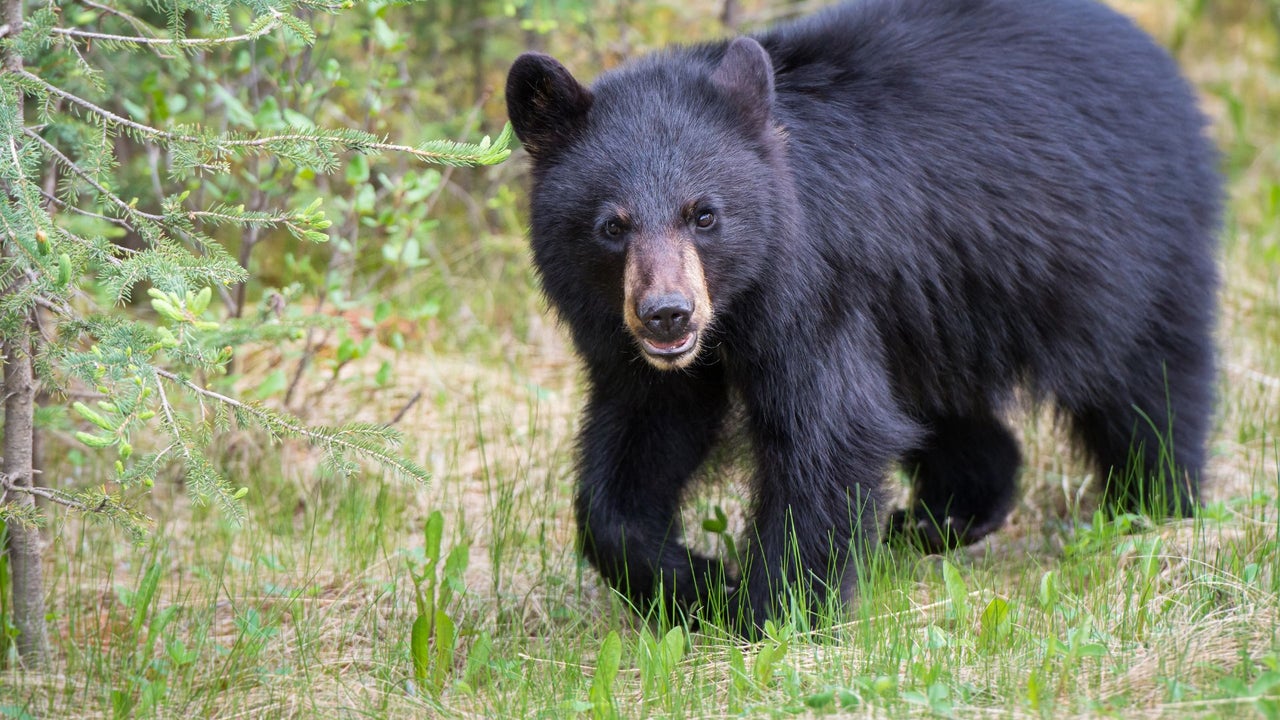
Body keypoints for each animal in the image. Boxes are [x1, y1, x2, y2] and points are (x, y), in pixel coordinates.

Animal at [505, 0, 1220, 634]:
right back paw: (947, 516)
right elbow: (639, 444)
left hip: (1127, 251)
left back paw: (1152, 502)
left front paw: (773, 612)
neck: (735, 310)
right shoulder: (636, 351)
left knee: (1148, 378)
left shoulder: (817, 288)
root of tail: (1164, 64)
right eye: (611, 226)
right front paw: (693, 582)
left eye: (704, 214)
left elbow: (831, 434)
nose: (667, 316)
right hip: (939, 303)